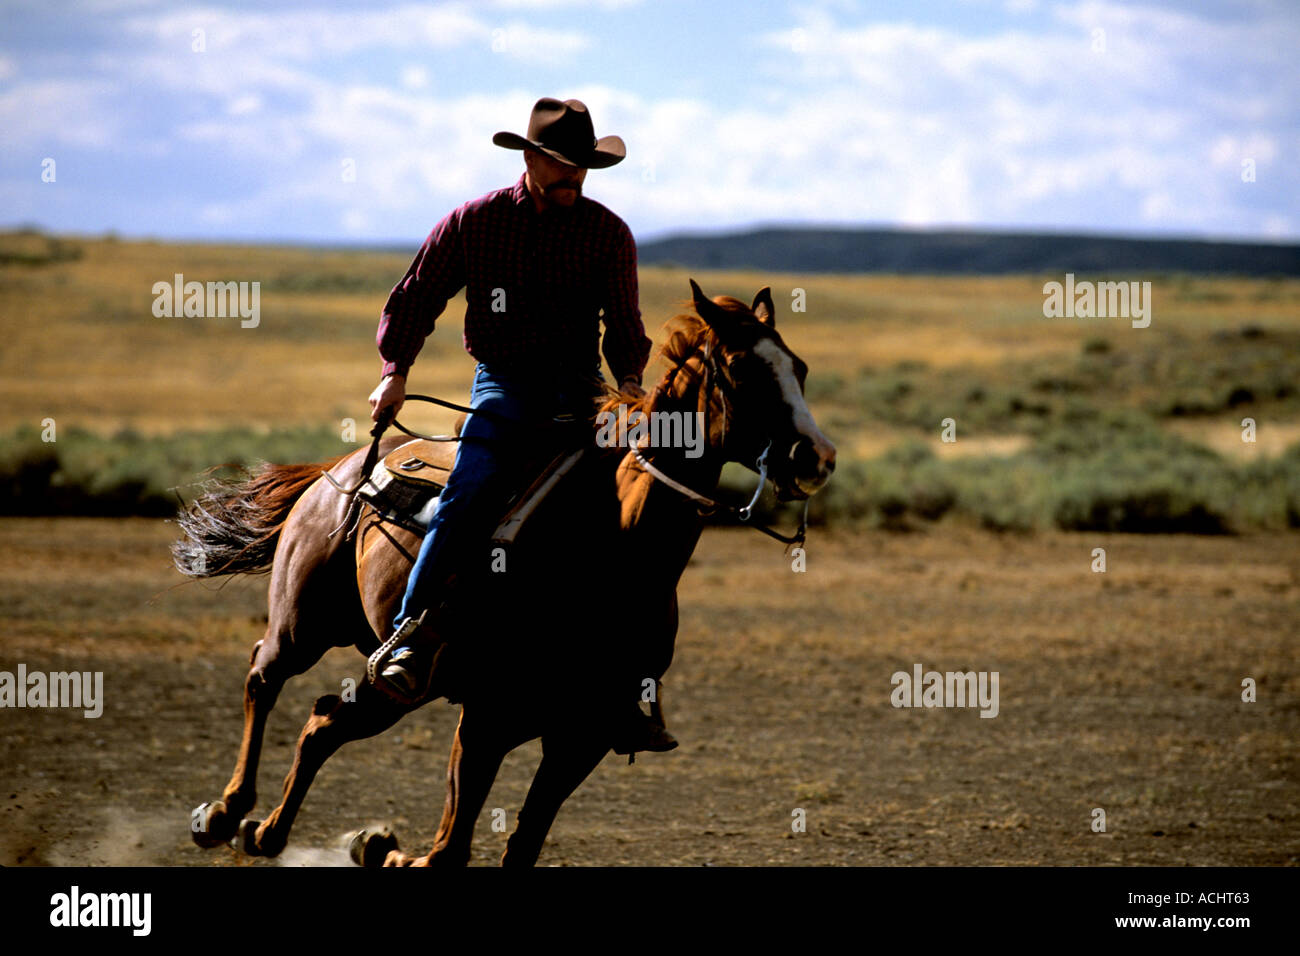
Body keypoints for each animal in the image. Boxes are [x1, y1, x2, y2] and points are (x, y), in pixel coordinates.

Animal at [178, 279, 836, 866]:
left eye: (800, 369)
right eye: (742, 369)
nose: (816, 457)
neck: (613, 553)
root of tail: (338, 468)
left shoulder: (584, 733)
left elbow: (517, 848)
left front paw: (380, 846)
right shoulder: (489, 715)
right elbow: (448, 851)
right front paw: (388, 851)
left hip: (400, 685)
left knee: (323, 723)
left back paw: (273, 834)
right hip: (304, 626)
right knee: (264, 677)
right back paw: (226, 814)